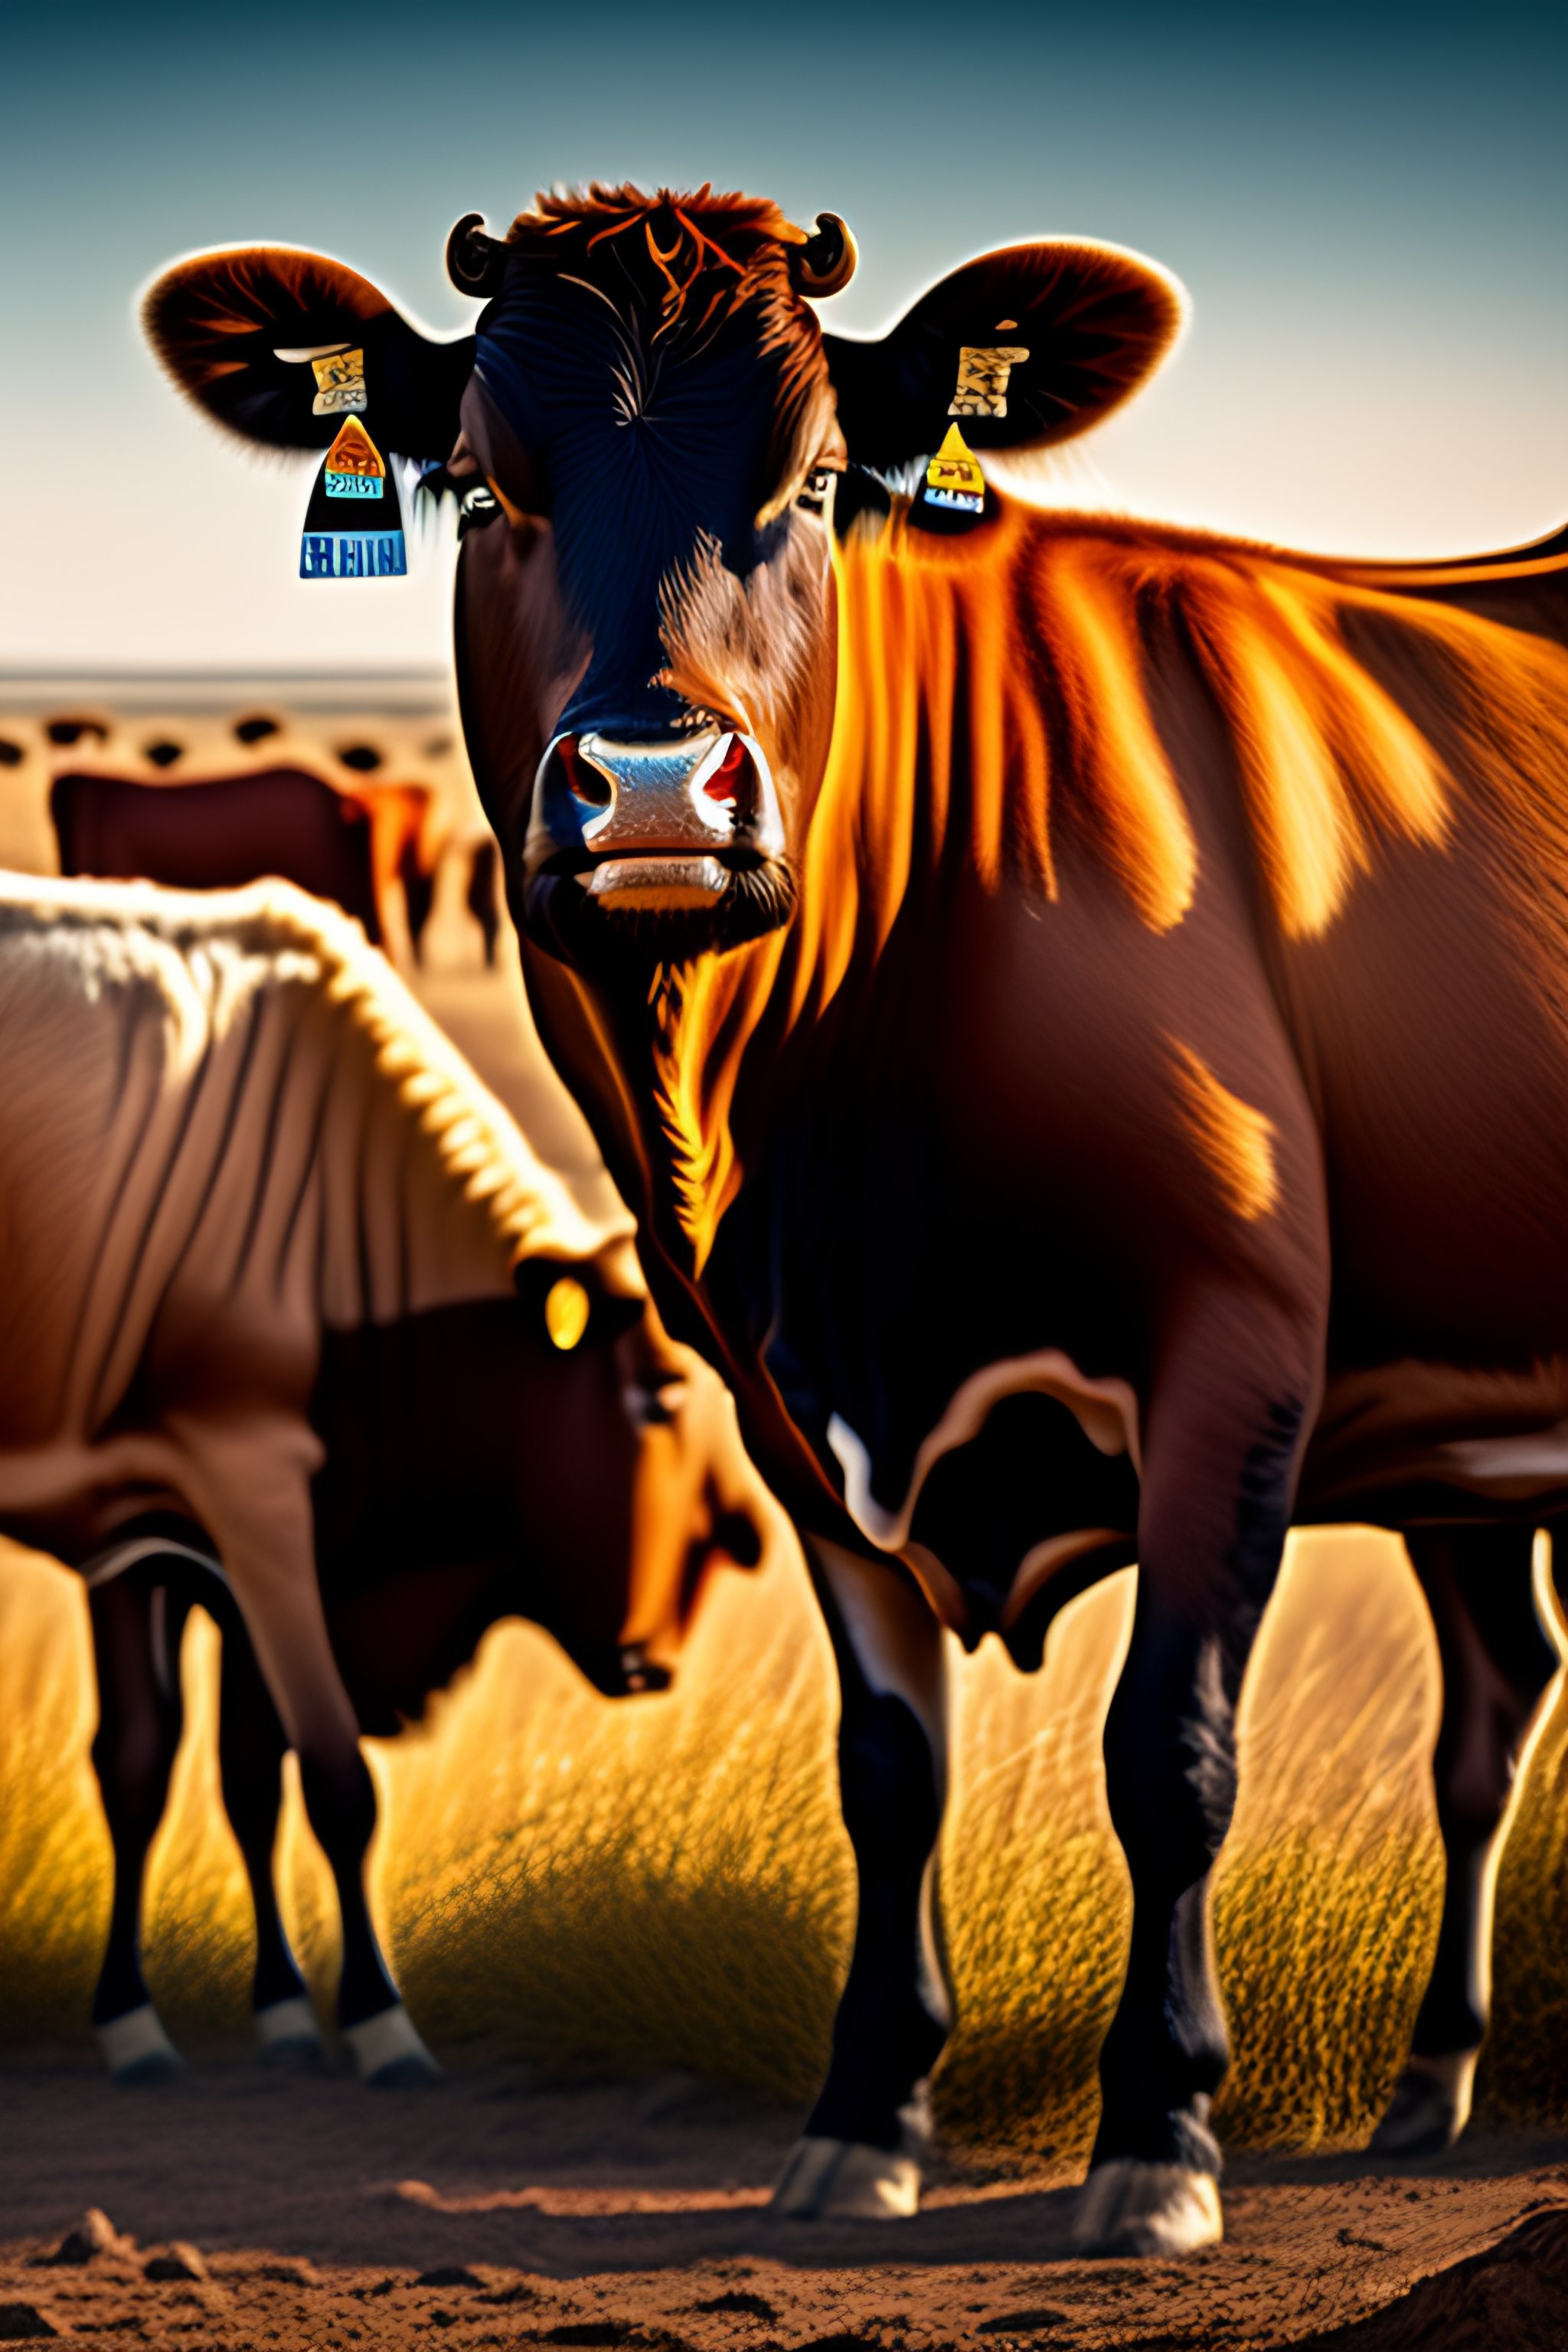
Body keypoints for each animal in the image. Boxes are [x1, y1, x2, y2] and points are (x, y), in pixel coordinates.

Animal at [0, 871, 767, 2083]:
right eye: (657, 1396)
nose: (655, 1659)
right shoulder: (252, 1501)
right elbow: (330, 1776)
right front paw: (375, 2019)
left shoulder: (159, 1533)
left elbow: (189, 1769)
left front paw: (219, 2016)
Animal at [144, 190, 1568, 2252]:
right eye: (481, 486)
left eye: (818, 480)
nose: (656, 784)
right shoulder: (782, 1400)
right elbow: (888, 1768)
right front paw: (864, 2115)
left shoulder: (1234, 1349)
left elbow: (1170, 1747)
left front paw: (1157, 2134)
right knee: (1493, 1695)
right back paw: (1429, 2081)